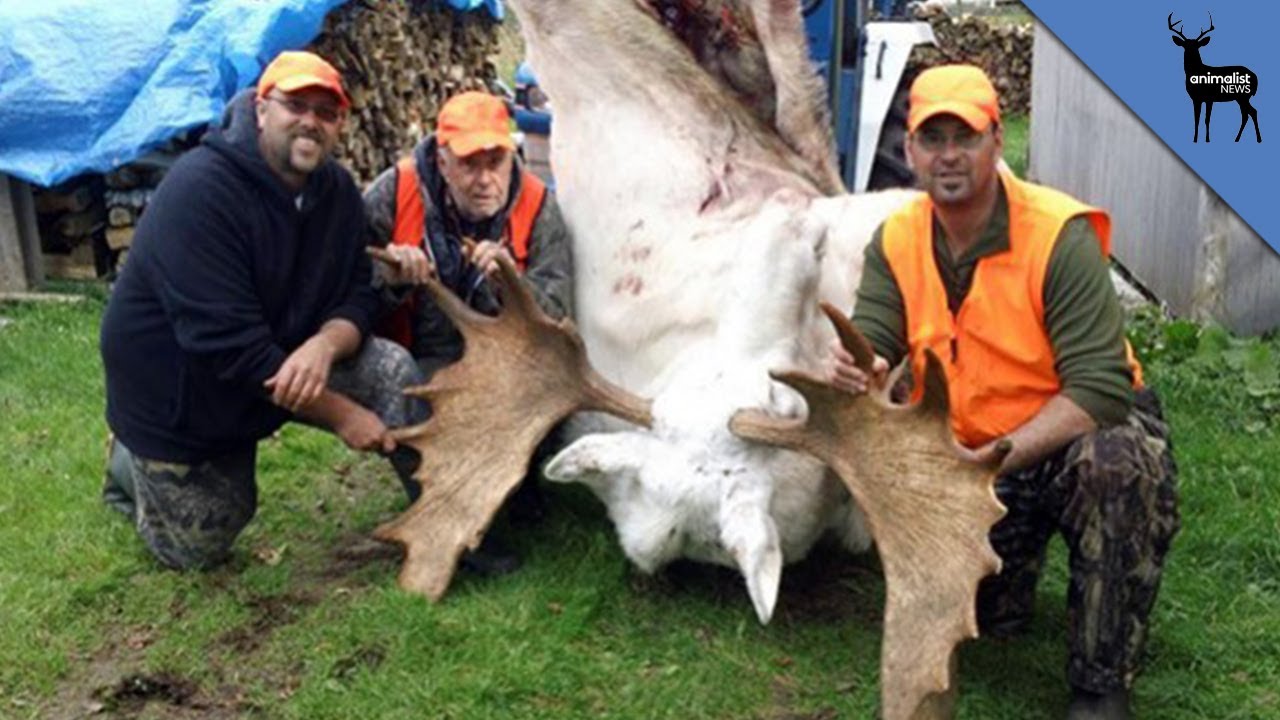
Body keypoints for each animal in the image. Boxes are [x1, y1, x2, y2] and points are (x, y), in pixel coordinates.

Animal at [1169, 12, 1261, 143]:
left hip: (1243, 95)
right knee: (1246, 114)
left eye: (1197, 46)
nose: (1191, 52)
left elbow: (1207, 119)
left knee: (1252, 112)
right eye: (1185, 46)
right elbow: (1196, 119)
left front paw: (1207, 139)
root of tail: (1255, 76)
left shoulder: (1209, 98)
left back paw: (1257, 139)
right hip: (1241, 97)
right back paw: (1237, 139)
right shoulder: (1196, 98)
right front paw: (1195, 139)